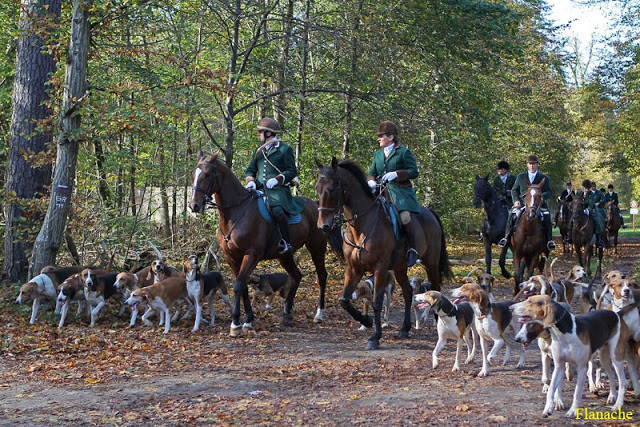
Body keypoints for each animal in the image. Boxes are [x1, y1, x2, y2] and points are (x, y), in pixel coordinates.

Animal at [189, 151, 342, 336]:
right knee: (296, 276)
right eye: (194, 174)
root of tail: (317, 205)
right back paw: (287, 313)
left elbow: (239, 285)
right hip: (285, 256)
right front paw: (248, 319)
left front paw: (235, 324)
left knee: (321, 276)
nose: (194, 205)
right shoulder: (231, 258)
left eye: (207, 174)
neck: (236, 213)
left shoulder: (252, 254)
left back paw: (319, 314)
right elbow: (243, 286)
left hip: (316, 247)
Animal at [315, 158, 451, 350]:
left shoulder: (380, 269)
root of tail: (430, 212)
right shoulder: (354, 268)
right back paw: (404, 329)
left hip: (430, 263)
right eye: (317, 188)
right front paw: (366, 321)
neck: (361, 227)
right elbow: (344, 299)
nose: (323, 226)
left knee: (436, 288)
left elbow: (377, 303)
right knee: (408, 292)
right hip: (400, 268)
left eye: (333, 188)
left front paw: (375, 337)